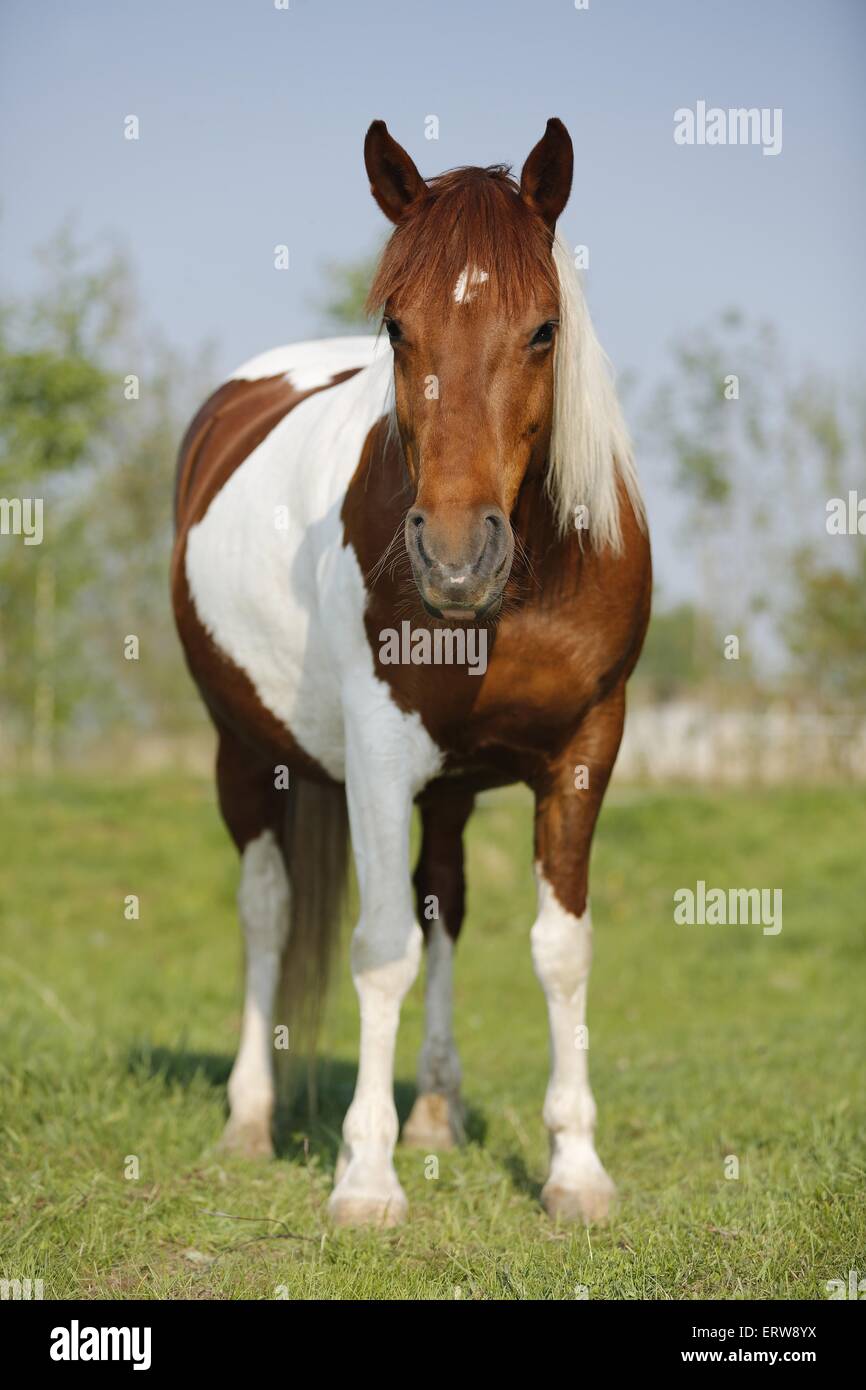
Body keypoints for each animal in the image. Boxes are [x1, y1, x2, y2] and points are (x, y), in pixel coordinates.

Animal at [171, 117, 651, 1228]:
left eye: (543, 331)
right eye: (397, 330)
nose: (455, 559)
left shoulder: (585, 746)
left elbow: (557, 949)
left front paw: (575, 1168)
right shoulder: (383, 756)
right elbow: (380, 946)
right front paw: (364, 1176)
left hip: (448, 790)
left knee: (445, 905)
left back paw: (433, 1107)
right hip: (242, 753)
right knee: (267, 911)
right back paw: (250, 1119)